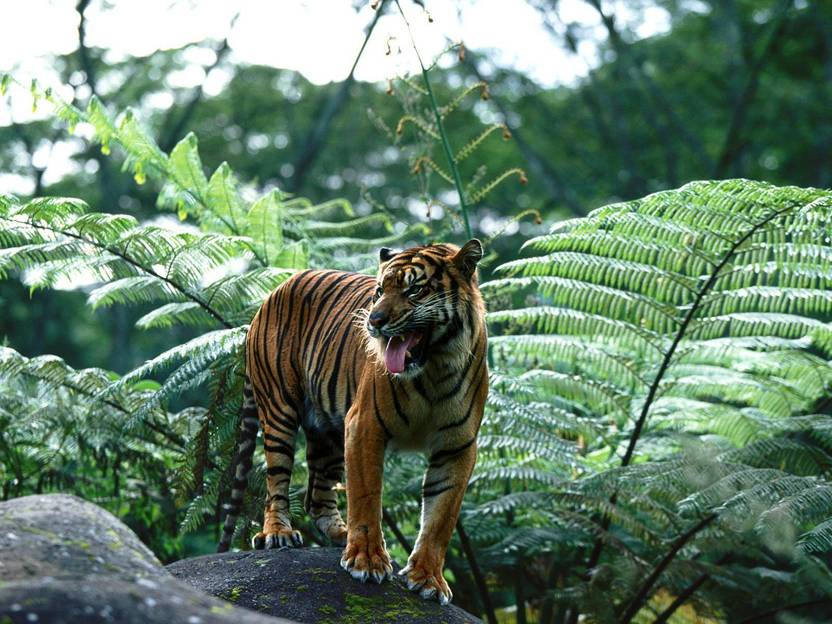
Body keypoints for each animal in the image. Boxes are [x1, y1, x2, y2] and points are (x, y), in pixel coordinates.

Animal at [217, 239, 488, 605]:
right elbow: (366, 496)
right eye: (379, 291)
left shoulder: (457, 445)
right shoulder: (365, 425)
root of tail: (274, 291)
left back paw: (338, 534)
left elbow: (440, 517)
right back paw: (278, 533)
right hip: (278, 410)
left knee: (317, 497)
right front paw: (367, 561)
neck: (435, 368)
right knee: (275, 481)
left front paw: (428, 579)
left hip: (328, 430)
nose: (374, 320)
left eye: (414, 289)